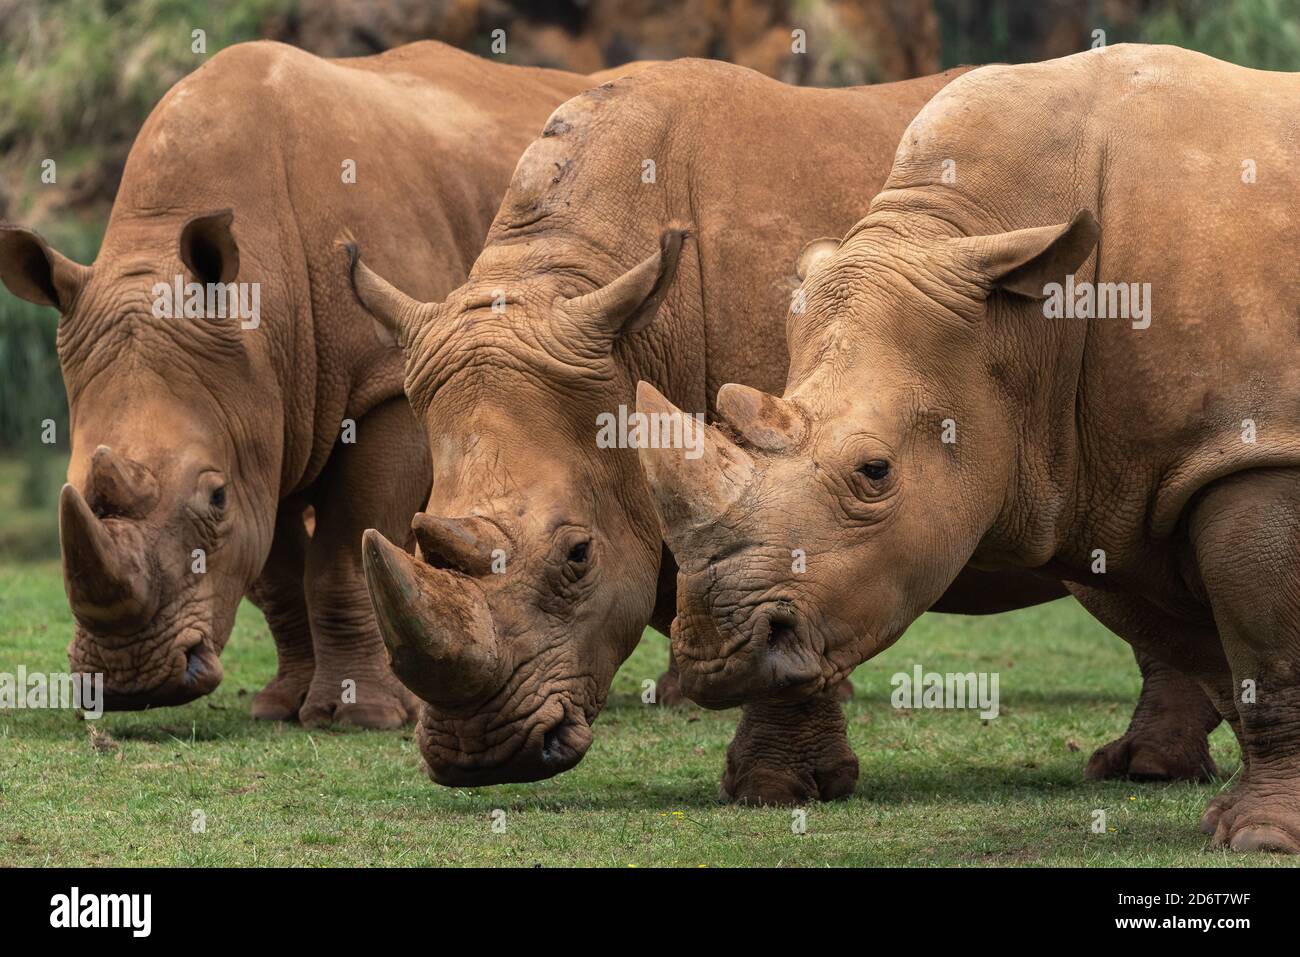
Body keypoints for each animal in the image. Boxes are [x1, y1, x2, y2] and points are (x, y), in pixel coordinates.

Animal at [0, 40, 618, 727]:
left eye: (213, 498)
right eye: (74, 487)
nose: (132, 680)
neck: (262, 305)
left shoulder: (386, 383)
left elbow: (344, 556)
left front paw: (361, 716)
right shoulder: (263, 414)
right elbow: (278, 574)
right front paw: (280, 707)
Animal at [635, 44, 1300, 847]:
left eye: (875, 472)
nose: (717, 656)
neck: (1020, 320)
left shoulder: (1255, 449)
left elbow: (1270, 652)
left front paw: (1263, 836)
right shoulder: (1104, 476)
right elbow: (1216, 658)